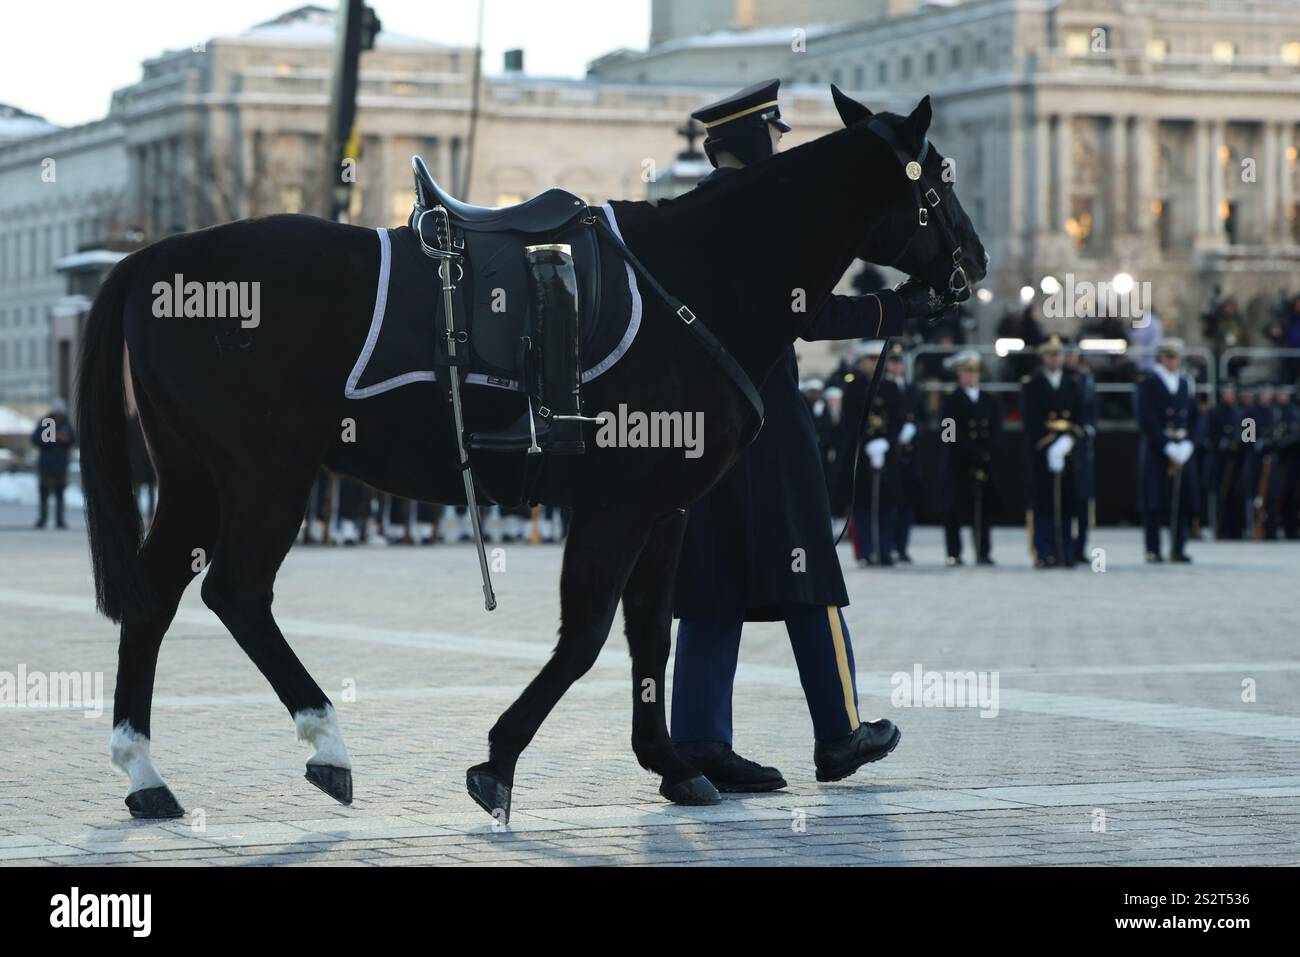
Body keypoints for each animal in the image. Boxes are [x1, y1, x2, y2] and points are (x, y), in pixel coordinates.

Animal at [77, 86, 986, 822]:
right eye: (940, 177)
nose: (973, 265)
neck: (697, 273)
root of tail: (158, 252)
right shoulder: (618, 505)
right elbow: (585, 636)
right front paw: (500, 759)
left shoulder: (664, 510)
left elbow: (650, 635)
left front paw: (673, 764)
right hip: (267, 475)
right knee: (235, 591)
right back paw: (325, 740)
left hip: (194, 477)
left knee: (155, 596)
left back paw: (144, 774)